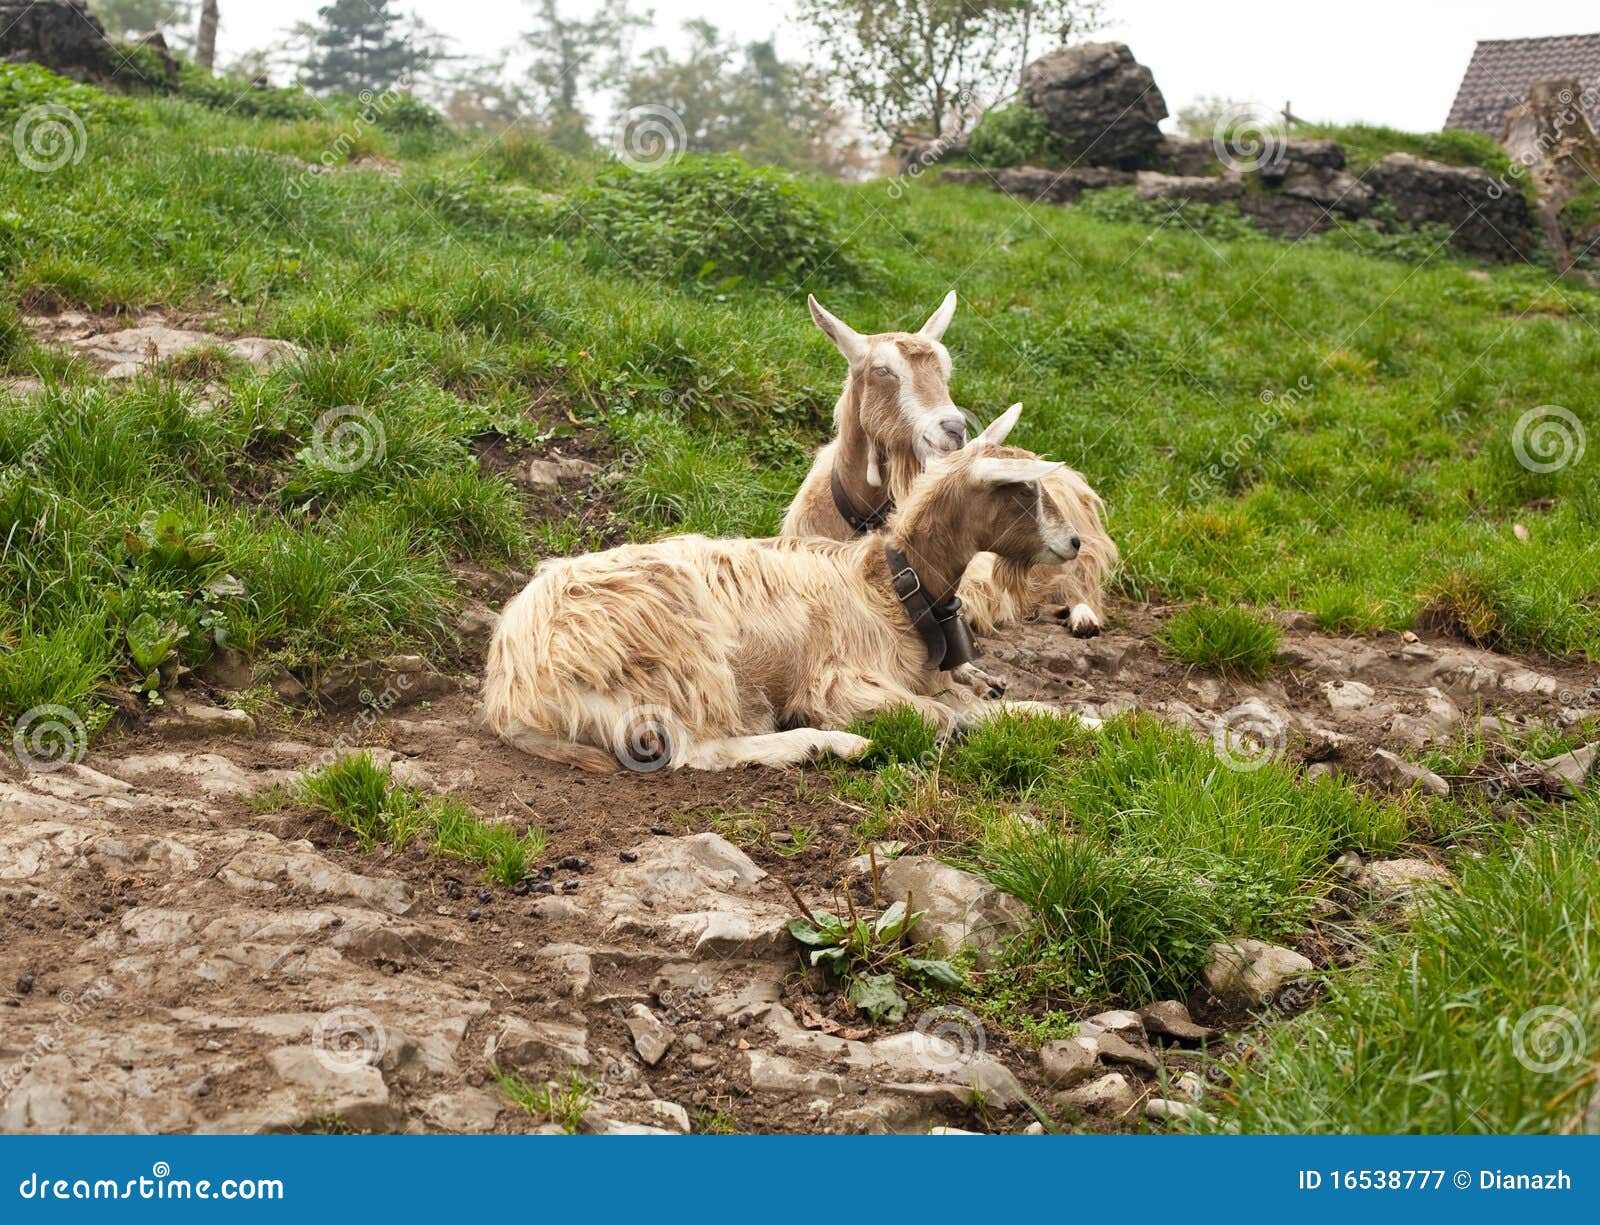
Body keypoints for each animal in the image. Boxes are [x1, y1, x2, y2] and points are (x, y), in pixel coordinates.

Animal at [483, 407, 1078, 773]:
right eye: (1022, 491)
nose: (1073, 541)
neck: (888, 586)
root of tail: (513, 687)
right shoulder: (839, 680)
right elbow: (945, 719)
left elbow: (1009, 710)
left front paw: (1088, 721)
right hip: (684, 662)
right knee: (698, 750)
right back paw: (830, 744)